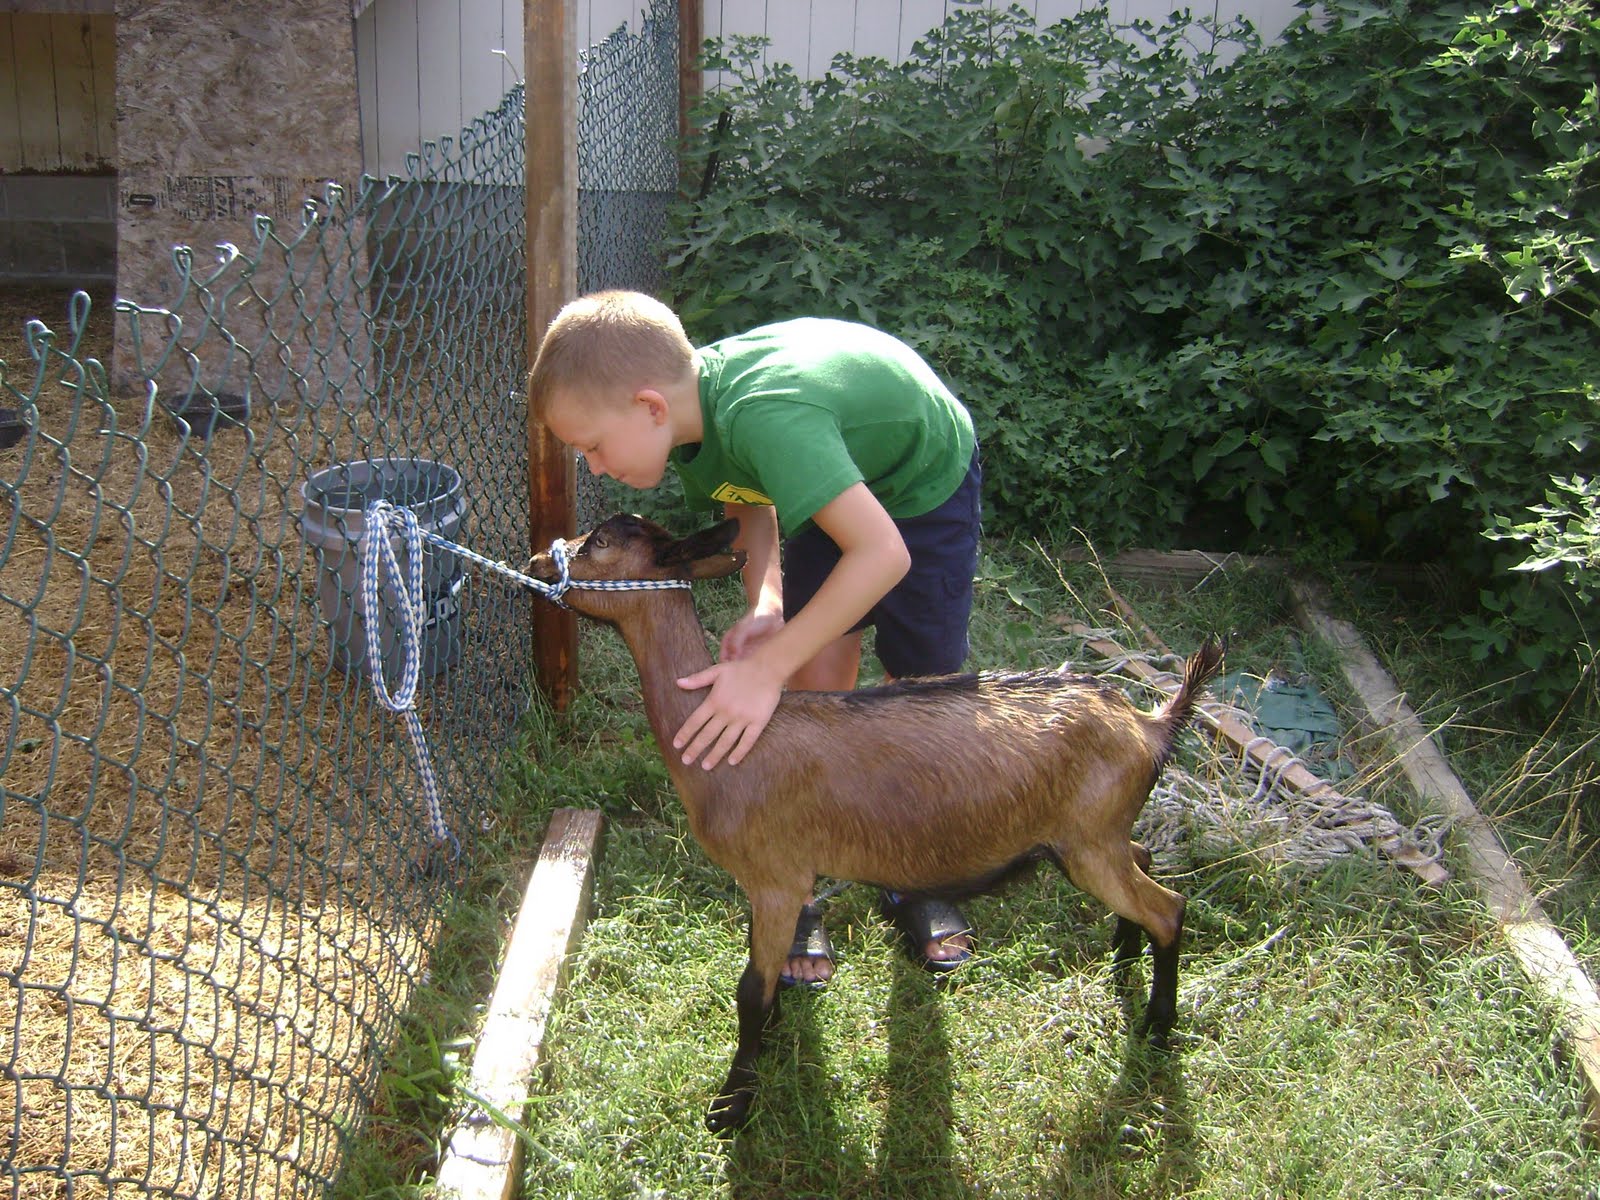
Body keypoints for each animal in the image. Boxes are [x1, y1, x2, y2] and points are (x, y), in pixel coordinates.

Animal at [528, 513, 1225, 1134]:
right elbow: (762, 972)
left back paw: (1157, 1025)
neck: (728, 731)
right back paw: (1123, 956)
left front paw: (732, 1104)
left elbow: (749, 989)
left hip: (1087, 842)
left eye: (600, 542)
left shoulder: (776, 876)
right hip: (1092, 836)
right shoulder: (772, 883)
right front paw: (770, 1040)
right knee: (1146, 862)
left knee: (1169, 907)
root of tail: (1149, 725)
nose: (537, 559)